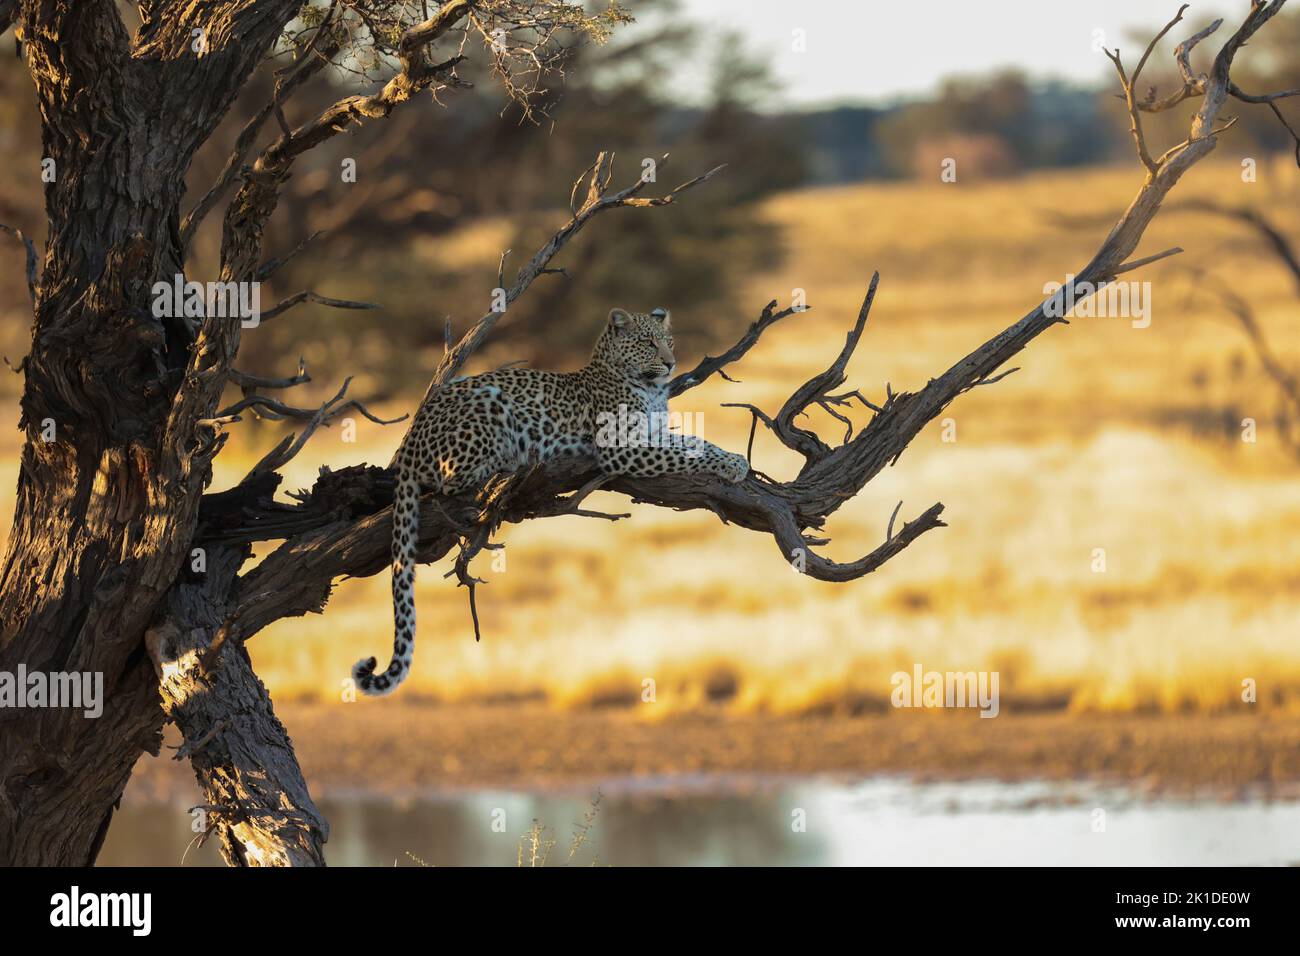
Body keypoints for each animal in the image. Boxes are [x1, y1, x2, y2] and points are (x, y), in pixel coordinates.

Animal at [353, 307, 750, 696]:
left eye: (668, 341)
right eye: (647, 343)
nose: (671, 363)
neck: (646, 388)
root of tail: (410, 440)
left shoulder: (656, 435)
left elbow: (698, 443)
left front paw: (735, 459)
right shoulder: (622, 448)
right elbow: (686, 457)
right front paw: (729, 466)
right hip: (489, 404)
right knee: (451, 482)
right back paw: (510, 461)